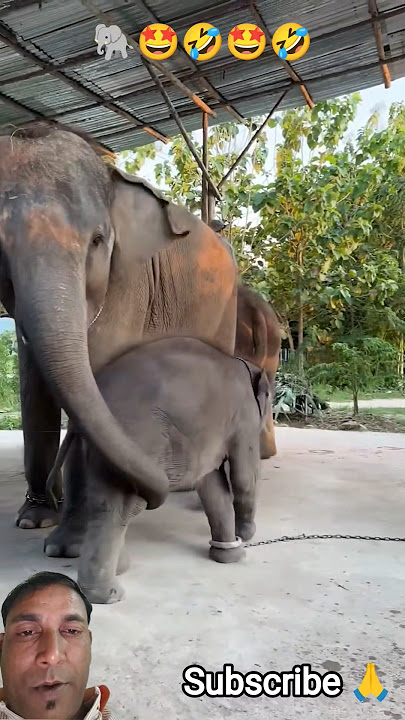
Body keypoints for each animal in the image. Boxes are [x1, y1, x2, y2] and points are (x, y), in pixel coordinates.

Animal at [0, 122, 237, 531]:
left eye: (97, 241)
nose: (54, 495)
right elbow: (34, 390)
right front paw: (35, 519)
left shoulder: (128, 283)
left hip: (226, 309)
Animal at [45, 335, 270, 603]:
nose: (242, 538)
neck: (243, 362)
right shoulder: (244, 416)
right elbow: (244, 477)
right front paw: (245, 535)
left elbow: (212, 487)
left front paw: (228, 556)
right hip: (144, 439)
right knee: (121, 506)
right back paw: (109, 592)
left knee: (102, 503)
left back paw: (118, 570)